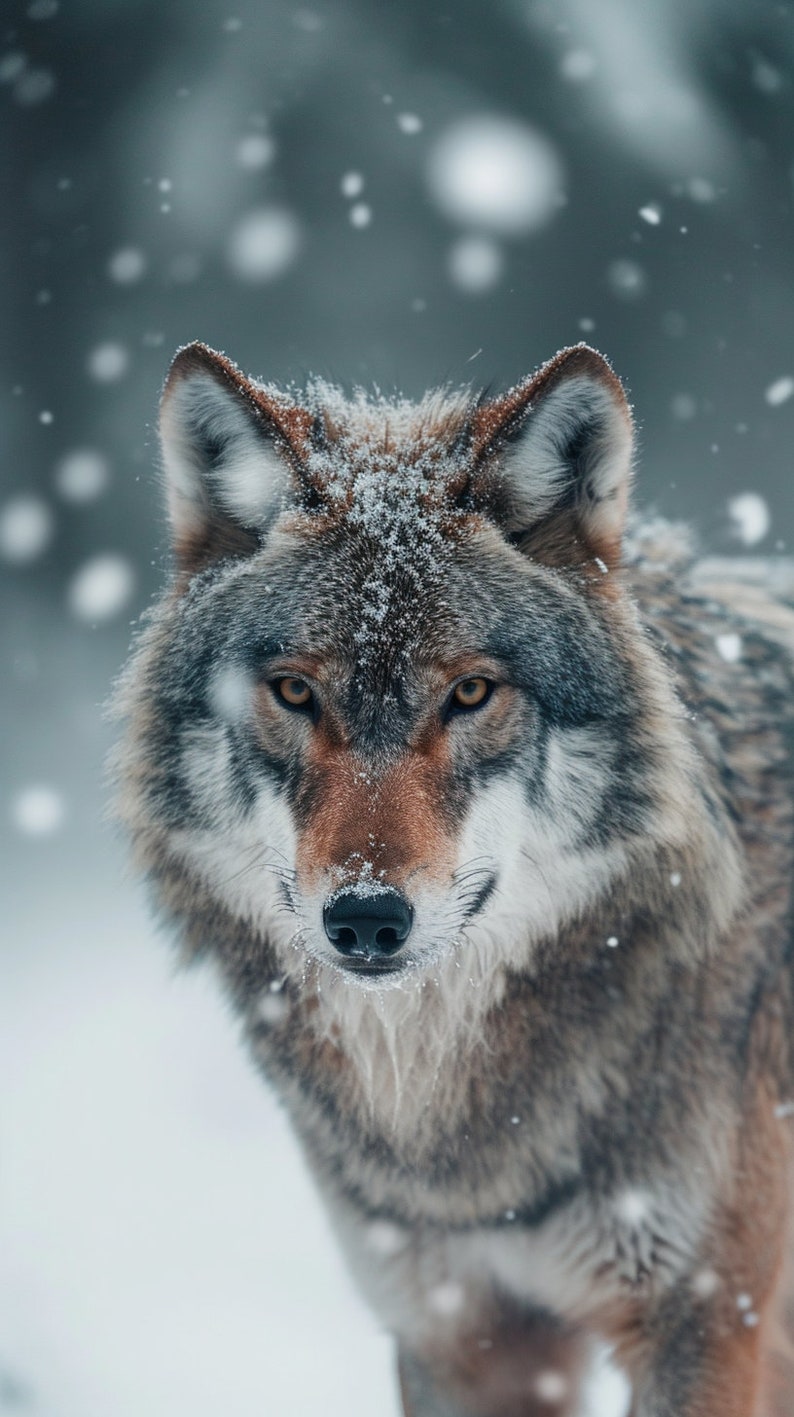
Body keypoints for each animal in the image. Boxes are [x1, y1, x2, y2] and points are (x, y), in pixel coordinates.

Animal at [113, 339, 794, 1416]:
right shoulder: (453, 1332)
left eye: (470, 691)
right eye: (295, 692)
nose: (365, 918)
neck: (459, 1146)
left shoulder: (710, 1323)